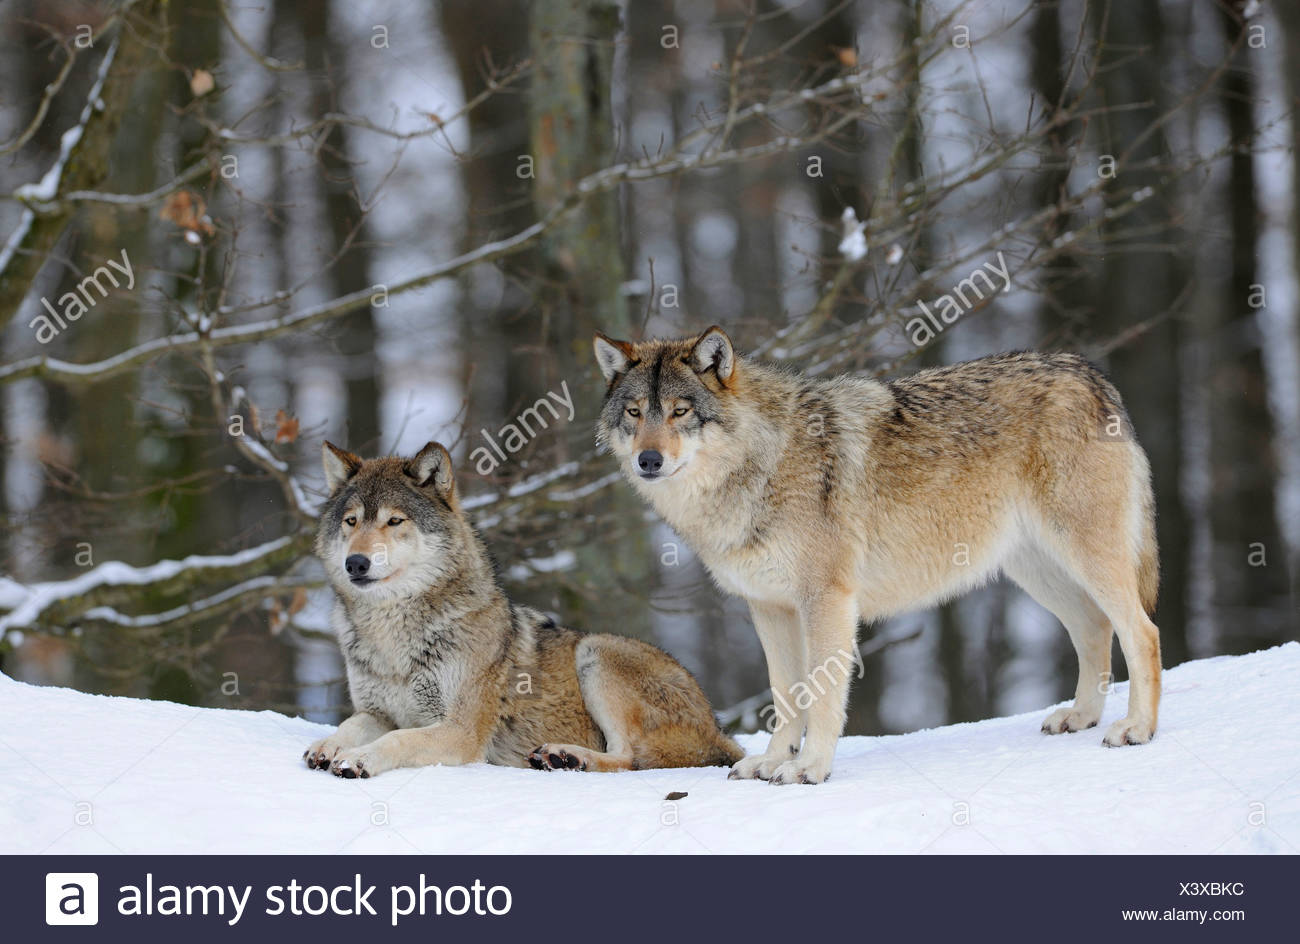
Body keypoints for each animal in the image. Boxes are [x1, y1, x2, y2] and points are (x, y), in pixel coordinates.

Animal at [304, 439, 743, 778]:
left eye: (394, 521)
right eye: (350, 521)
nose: (355, 563)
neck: (391, 635)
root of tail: (721, 733)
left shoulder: (460, 731)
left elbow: (398, 739)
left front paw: (359, 759)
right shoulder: (377, 712)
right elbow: (352, 723)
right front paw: (328, 746)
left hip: (597, 651)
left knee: (630, 759)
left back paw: (568, 756)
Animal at [593, 326, 1161, 785]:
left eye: (681, 412)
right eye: (635, 413)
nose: (648, 460)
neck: (760, 467)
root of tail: (1086, 370)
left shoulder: (827, 601)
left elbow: (821, 698)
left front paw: (809, 768)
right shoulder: (770, 608)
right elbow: (785, 695)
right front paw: (772, 761)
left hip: (1085, 558)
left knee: (1142, 631)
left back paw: (1137, 728)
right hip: (1036, 572)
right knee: (1095, 628)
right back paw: (1081, 716)